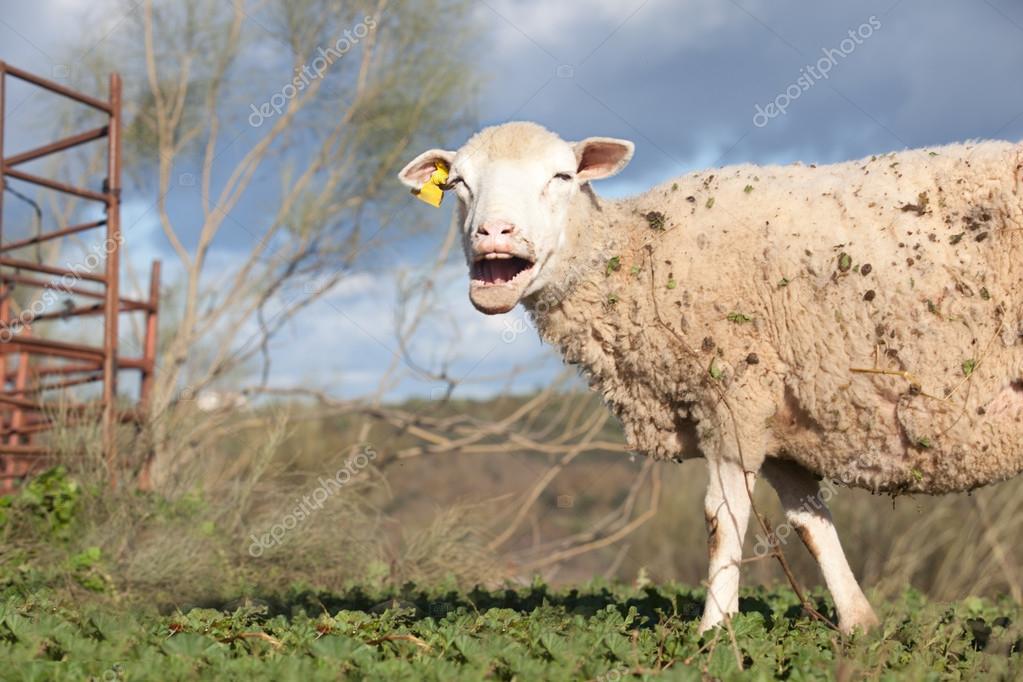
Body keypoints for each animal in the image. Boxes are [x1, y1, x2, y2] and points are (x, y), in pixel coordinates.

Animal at [398, 121, 1023, 634]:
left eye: (561, 176)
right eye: (458, 184)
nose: (495, 232)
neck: (640, 259)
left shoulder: (733, 395)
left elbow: (722, 520)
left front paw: (714, 634)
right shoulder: (779, 423)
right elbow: (809, 523)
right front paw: (858, 624)